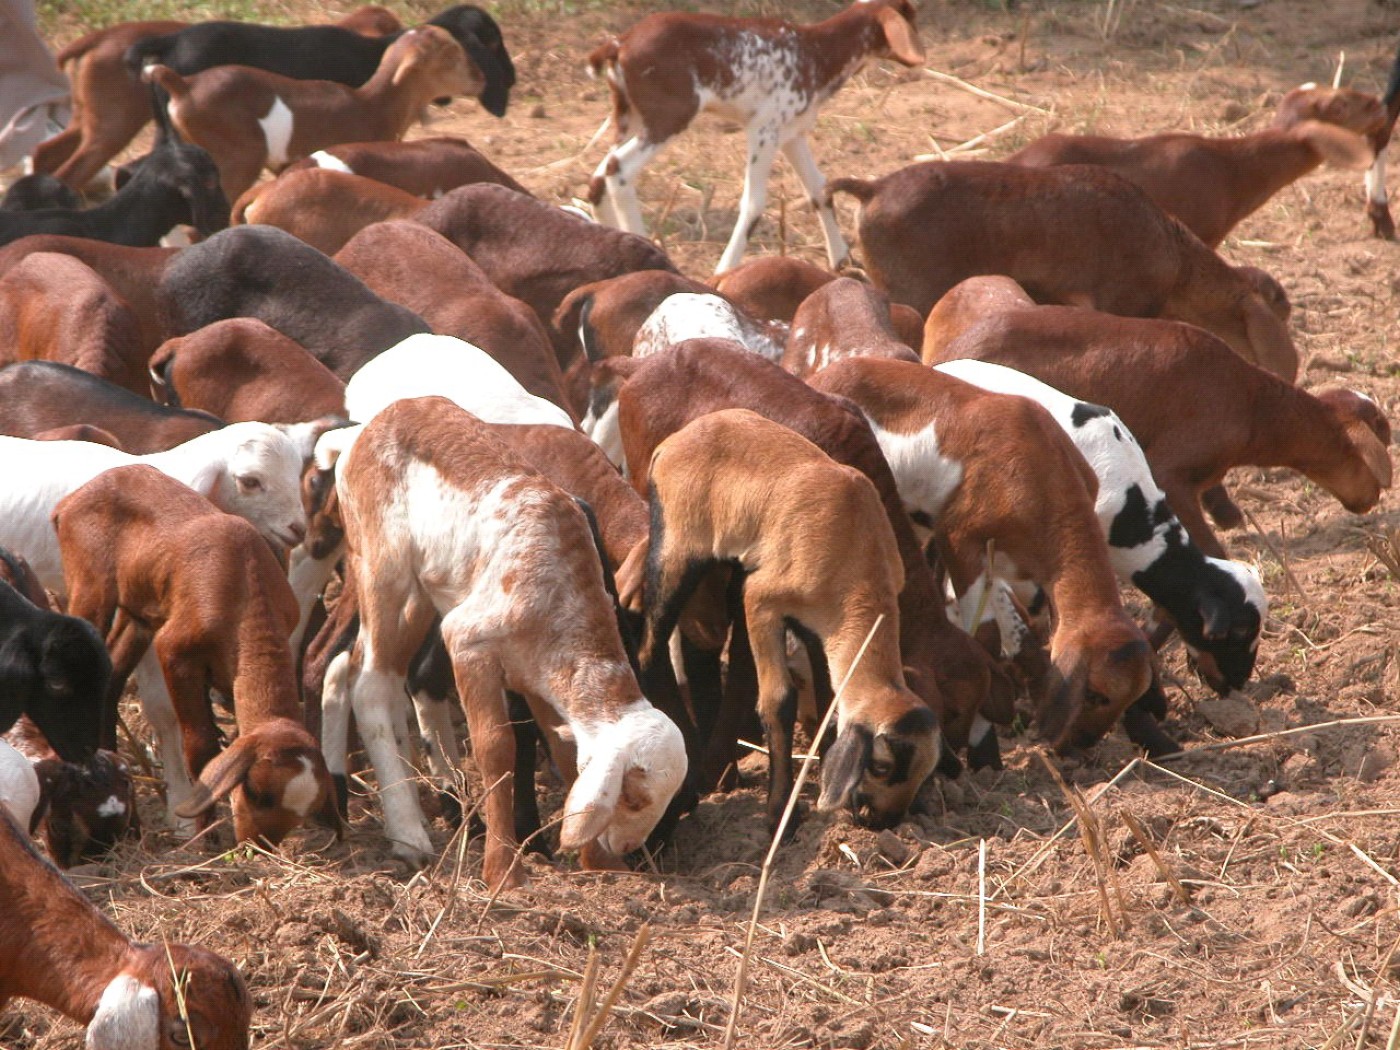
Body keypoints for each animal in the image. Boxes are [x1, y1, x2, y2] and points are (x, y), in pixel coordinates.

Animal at [55, 465, 337, 843]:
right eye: (257, 792)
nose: (258, 844)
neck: (246, 595)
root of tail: (71, 500)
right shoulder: (176, 650)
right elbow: (201, 748)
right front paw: (207, 838)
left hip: (139, 610)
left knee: (110, 679)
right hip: (90, 586)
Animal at [324, 395, 686, 882]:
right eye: (633, 797)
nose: (629, 846)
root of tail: (367, 427)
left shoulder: (536, 675)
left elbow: (563, 750)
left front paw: (598, 864)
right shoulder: (468, 642)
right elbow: (497, 749)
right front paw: (502, 872)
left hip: (419, 593)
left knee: (368, 669)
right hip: (381, 568)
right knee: (371, 683)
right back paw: (409, 836)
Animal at [585, 0, 925, 273]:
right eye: (910, 15)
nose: (921, 55)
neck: (815, 51)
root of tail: (619, 44)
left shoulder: (792, 132)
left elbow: (819, 189)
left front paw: (841, 260)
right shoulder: (765, 128)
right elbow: (754, 202)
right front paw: (725, 269)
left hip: (629, 115)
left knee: (599, 175)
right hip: (670, 115)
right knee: (619, 168)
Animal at [807, 357, 1165, 753]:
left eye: (1130, 697)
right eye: (1094, 695)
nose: (1082, 744)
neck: (1046, 472)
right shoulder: (961, 540)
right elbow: (986, 636)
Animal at [928, 301, 1394, 560]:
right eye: (1364, 457)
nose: (1372, 500)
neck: (1252, 407)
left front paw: (1229, 514)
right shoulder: (1170, 469)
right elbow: (1211, 549)